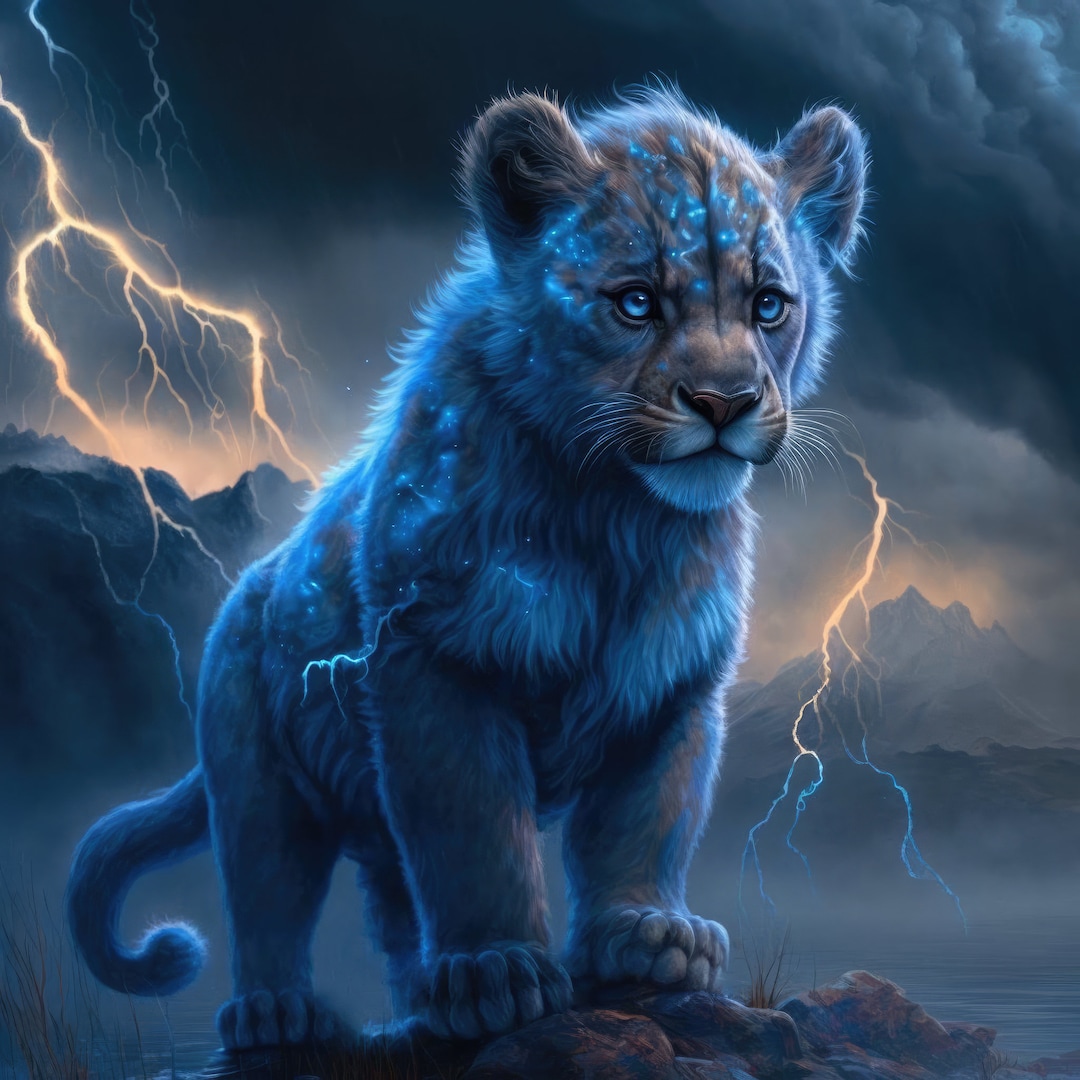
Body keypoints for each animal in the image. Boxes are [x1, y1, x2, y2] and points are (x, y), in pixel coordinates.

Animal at [67, 86, 867, 1049]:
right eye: (636, 302)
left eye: (770, 305)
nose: (725, 401)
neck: (618, 517)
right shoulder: (437, 661)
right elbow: (474, 832)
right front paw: (498, 969)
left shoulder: (669, 689)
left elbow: (645, 822)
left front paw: (650, 937)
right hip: (254, 763)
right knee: (268, 891)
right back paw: (277, 1012)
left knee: (389, 903)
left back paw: (420, 1000)